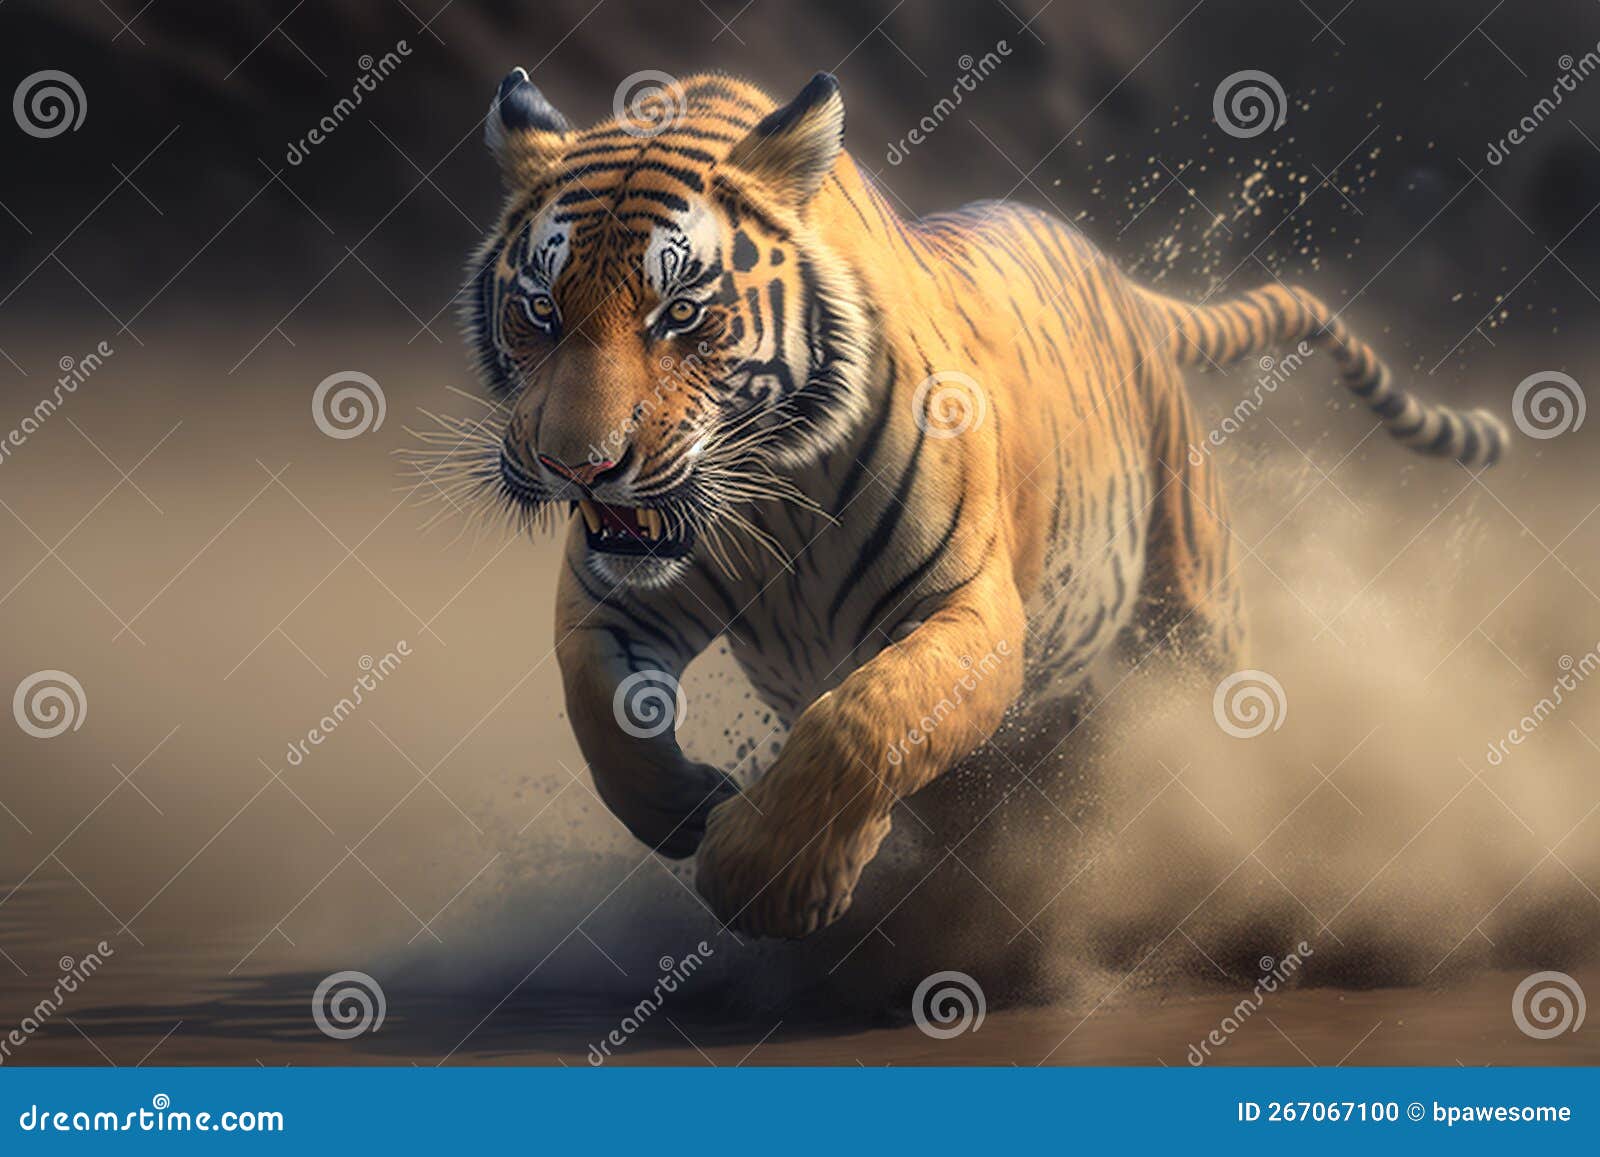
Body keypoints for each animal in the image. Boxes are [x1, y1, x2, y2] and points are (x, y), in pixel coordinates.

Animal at [451, 67, 1507, 939]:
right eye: (540, 309)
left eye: (681, 314)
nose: (578, 466)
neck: (769, 492)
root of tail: (1127, 285)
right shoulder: (611, 595)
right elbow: (599, 711)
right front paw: (685, 803)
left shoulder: (974, 613)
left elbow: (862, 723)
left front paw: (768, 882)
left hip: (1189, 608)